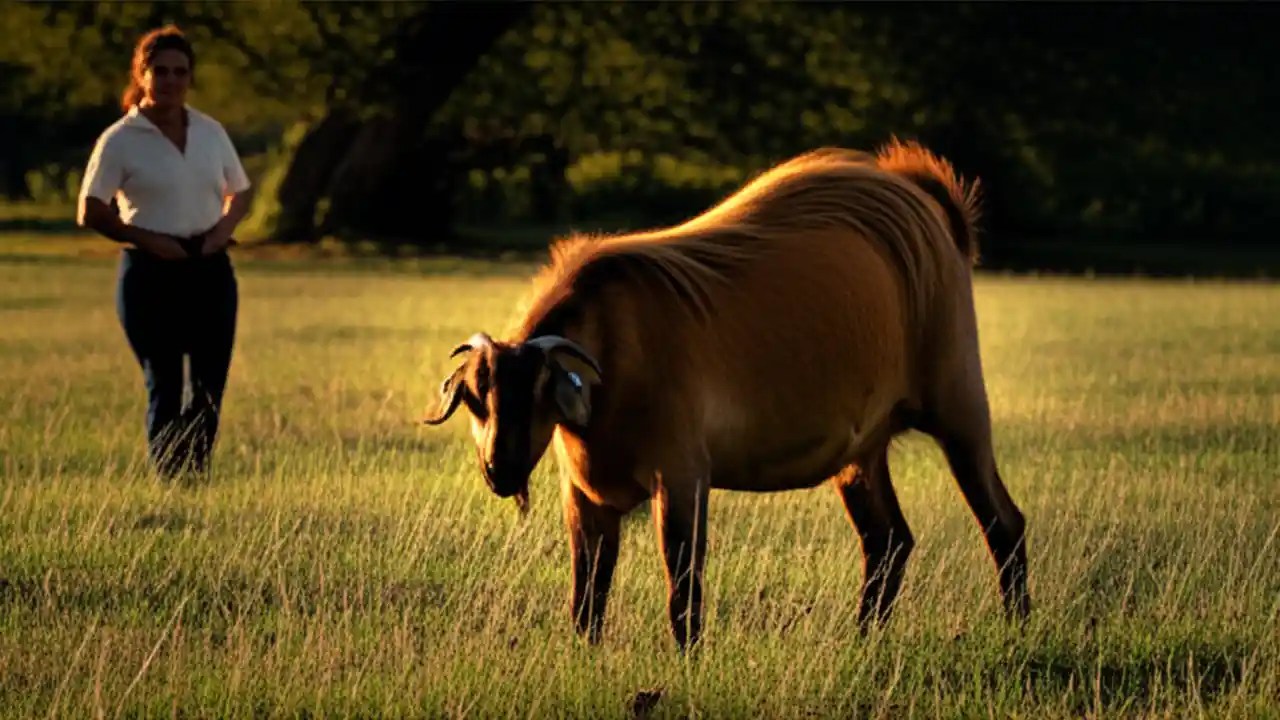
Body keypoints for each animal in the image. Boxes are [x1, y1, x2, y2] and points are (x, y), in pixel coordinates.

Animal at [423, 140, 1030, 651]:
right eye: (476, 399)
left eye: (539, 395)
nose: (498, 470)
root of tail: (929, 204)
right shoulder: (584, 495)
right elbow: (587, 591)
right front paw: (584, 656)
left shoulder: (682, 472)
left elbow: (682, 580)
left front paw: (687, 660)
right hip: (864, 448)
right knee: (888, 539)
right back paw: (862, 639)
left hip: (958, 401)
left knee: (1003, 520)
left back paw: (1015, 630)